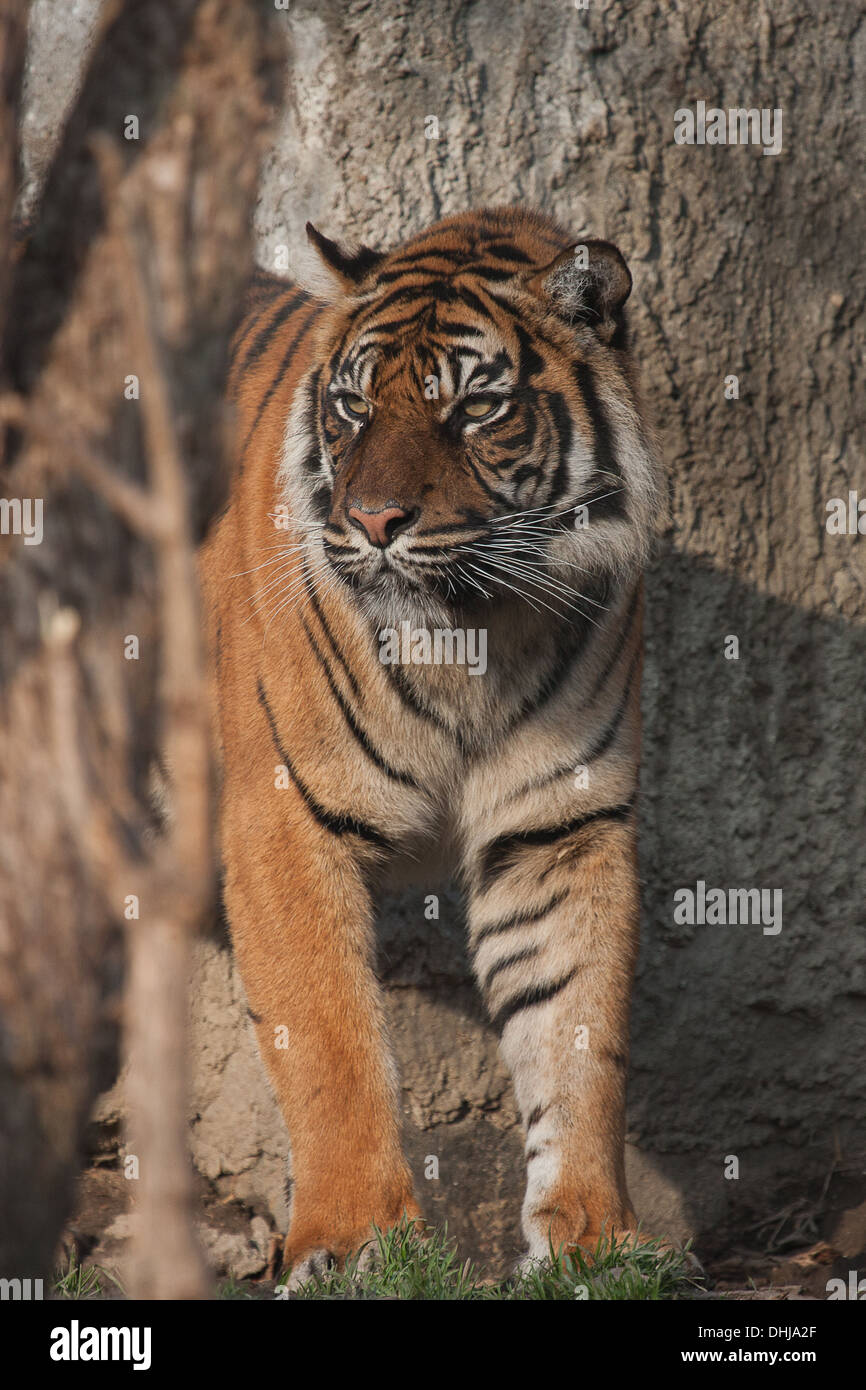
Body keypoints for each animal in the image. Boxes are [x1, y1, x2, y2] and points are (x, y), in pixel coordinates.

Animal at [198, 205, 665, 1285]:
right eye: (353, 407)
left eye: (475, 409)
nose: (374, 522)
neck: (471, 636)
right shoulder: (282, 817)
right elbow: (328, 1036)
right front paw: (355, 1241)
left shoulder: (559, 825)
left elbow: (576, 1029)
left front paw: (592, 1243)